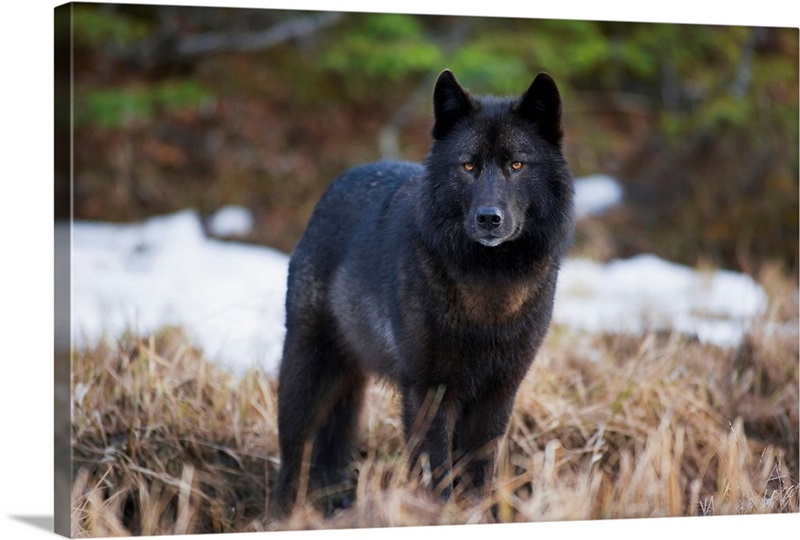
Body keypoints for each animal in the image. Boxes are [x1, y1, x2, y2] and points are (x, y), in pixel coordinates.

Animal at [271, 69, 574, 517]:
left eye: (516, 165)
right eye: (468, 165)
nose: (488, 218)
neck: (489, 294)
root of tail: (338, 182)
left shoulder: (498, 394)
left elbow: (477, 472)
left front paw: (474, 515)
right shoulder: (428, 392)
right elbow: (436, 471)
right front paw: (437, 513)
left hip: (350, 387)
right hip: (306, 372)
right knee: (293, 455)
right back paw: (279, 515)